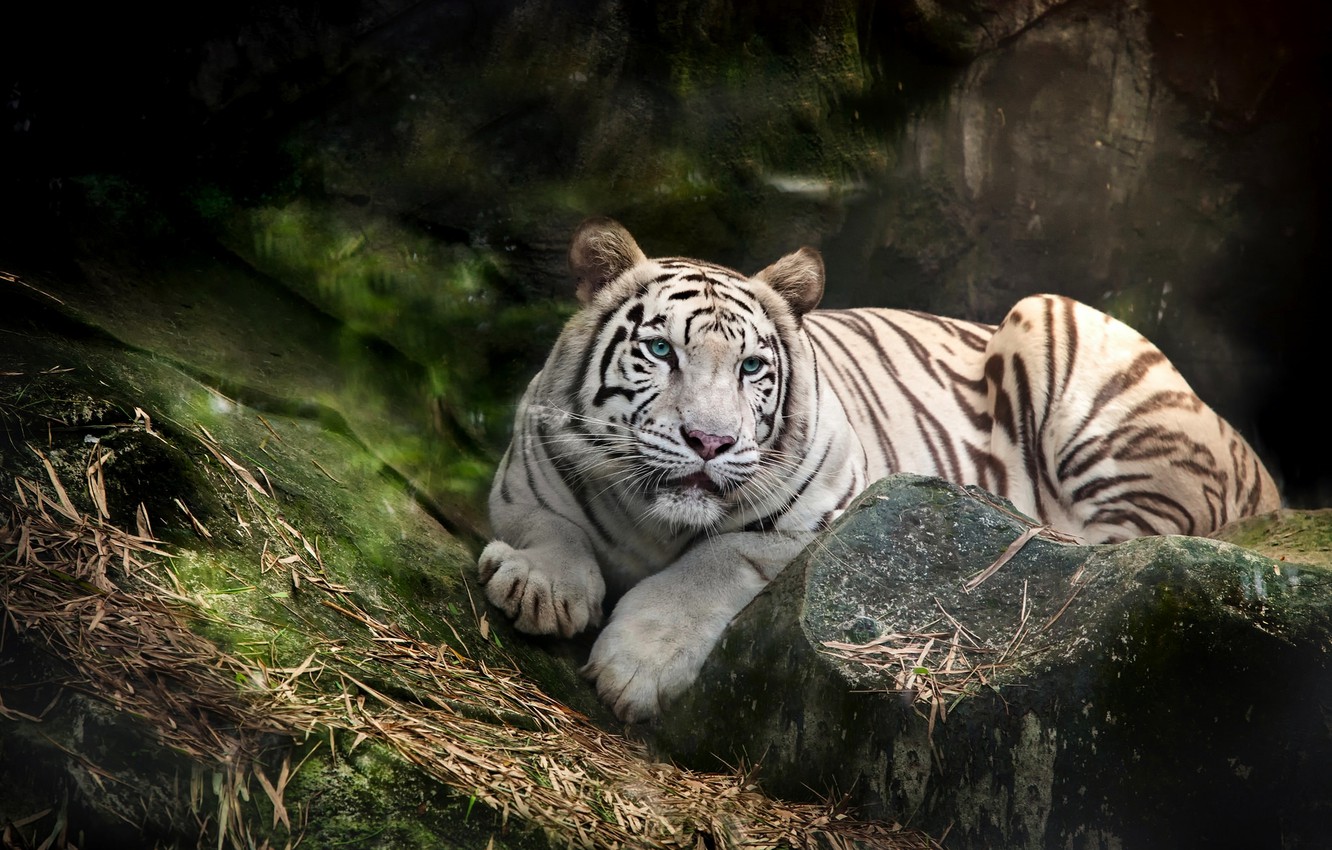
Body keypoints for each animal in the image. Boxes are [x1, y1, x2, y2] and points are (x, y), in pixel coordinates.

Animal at [478, 217, 1280, 722]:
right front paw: (540, 586)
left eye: (751, 368)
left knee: (1115, 549)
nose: (709, 441)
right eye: (660, 351)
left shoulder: (817, 513)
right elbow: (548, 526)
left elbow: (715, 562)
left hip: (1065, 332)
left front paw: (634, 668)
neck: (654, 520)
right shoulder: (523, 475)